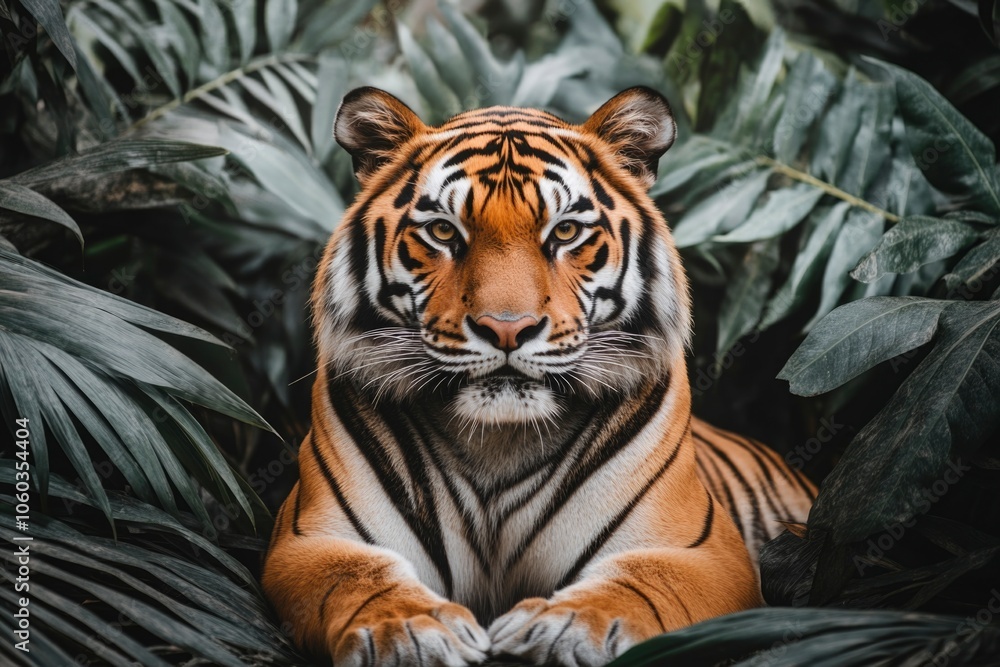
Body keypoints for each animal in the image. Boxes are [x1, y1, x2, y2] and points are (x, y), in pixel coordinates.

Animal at [262, 86, 816, 667]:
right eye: (443, 230)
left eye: (565, 231)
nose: (508, 328)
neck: (496, 442)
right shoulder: (311, 539)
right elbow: (358, 576)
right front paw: (409, 631)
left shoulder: (699, 550)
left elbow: (638, 585)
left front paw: (562, 628)